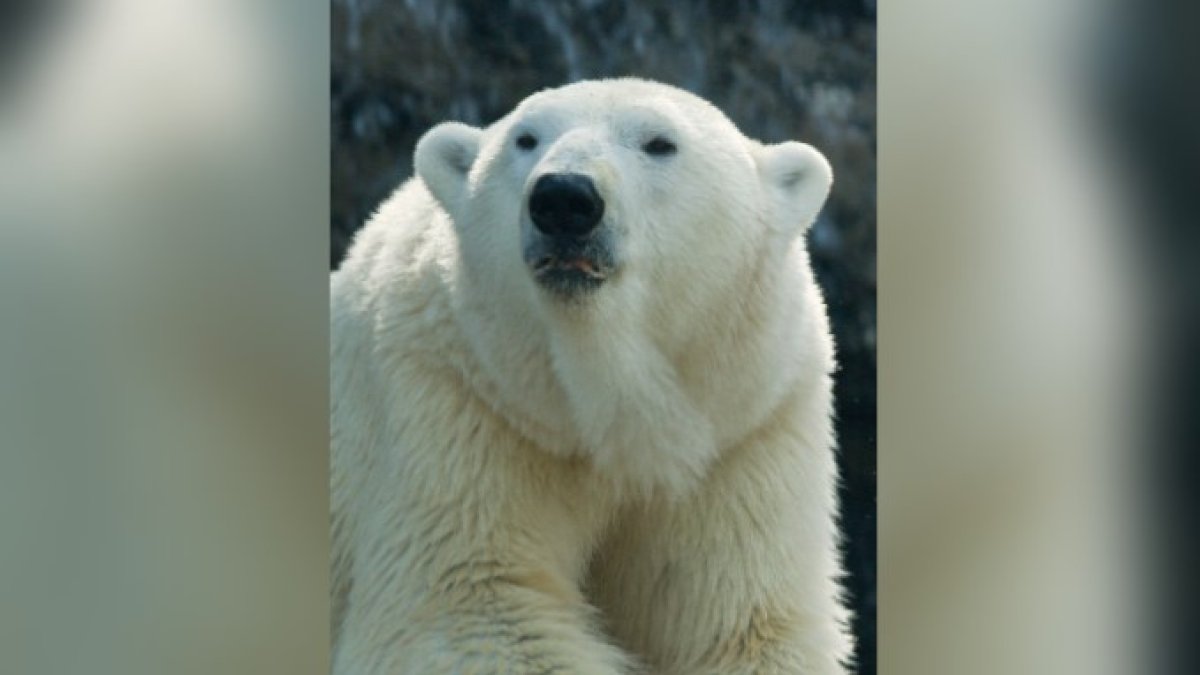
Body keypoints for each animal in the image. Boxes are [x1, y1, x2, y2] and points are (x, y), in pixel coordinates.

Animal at [331, 78, 851, 674]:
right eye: (525, 138)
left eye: (659, 142)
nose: (564, 199)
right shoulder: (460, 402)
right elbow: (468, 600)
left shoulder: (746, 427)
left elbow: (741, 623)